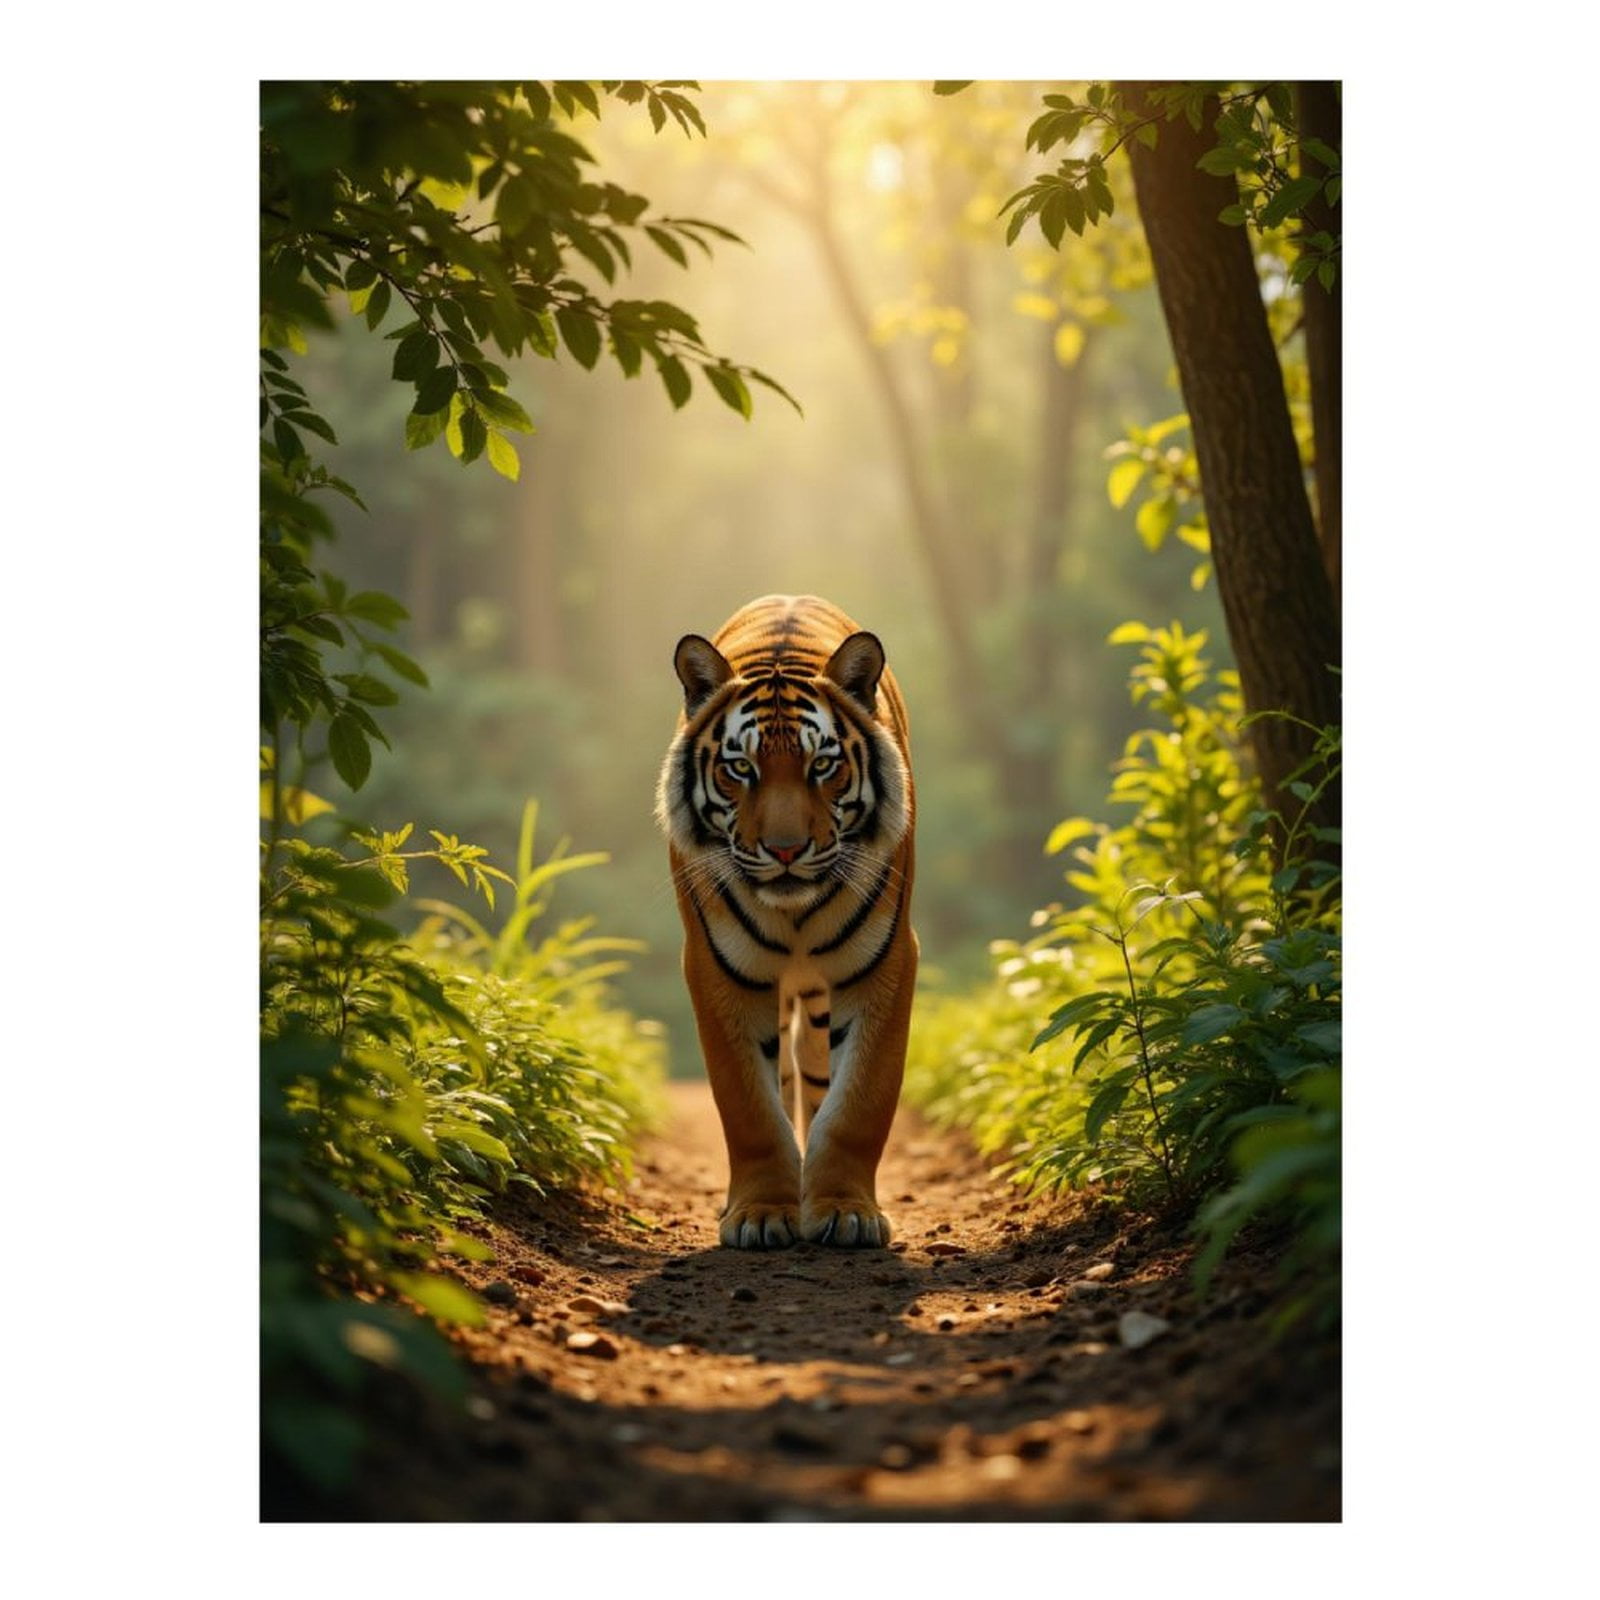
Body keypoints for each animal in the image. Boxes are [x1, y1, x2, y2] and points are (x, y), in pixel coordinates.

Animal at [656, 594, 917, 1251]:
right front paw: (762, 1214)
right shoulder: (718, 971)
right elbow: (748, 1106)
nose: (785, 849)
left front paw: (846, 1211)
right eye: (739, 769)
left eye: (822, 765)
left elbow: (860, 1103)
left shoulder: (886, 963)